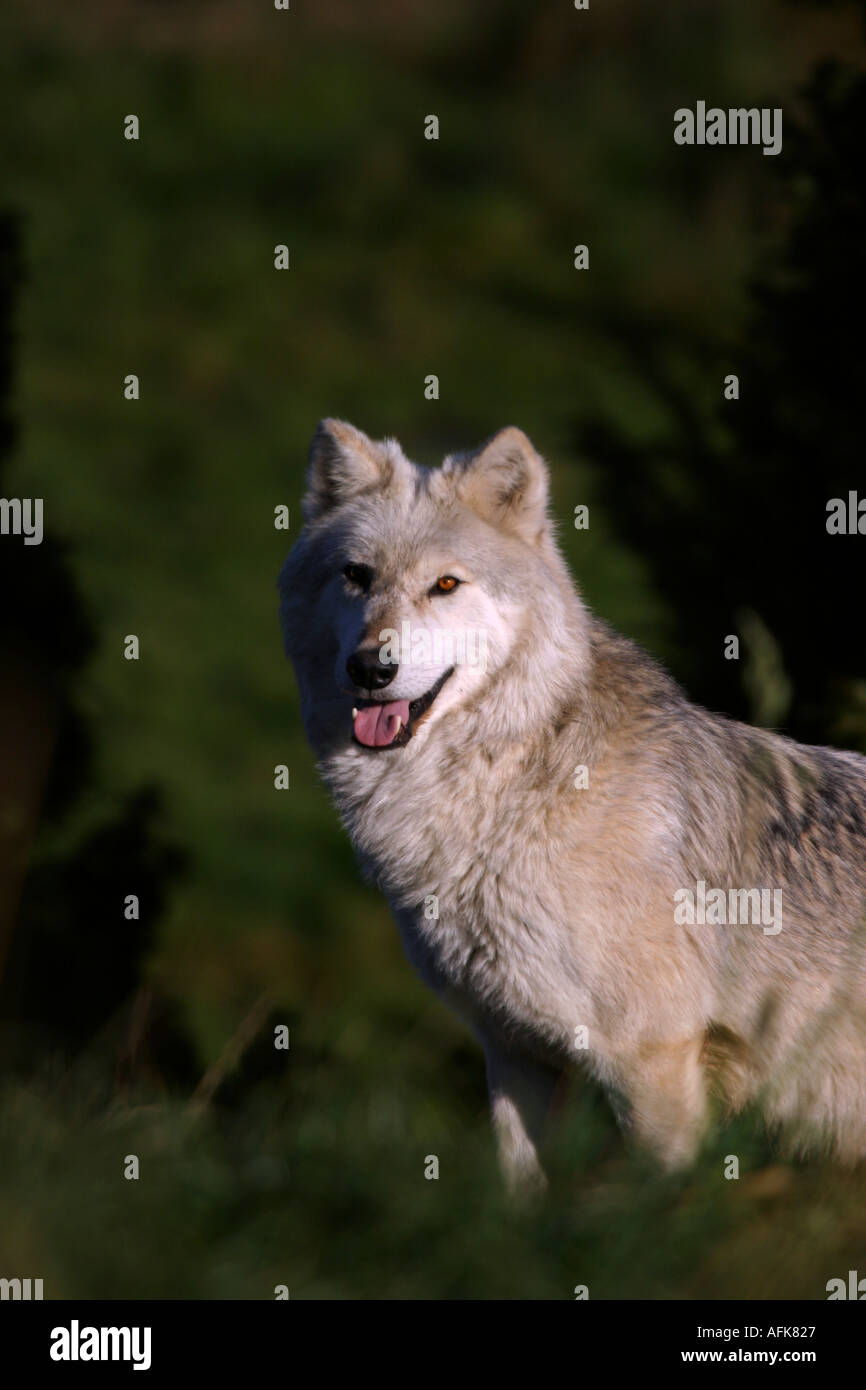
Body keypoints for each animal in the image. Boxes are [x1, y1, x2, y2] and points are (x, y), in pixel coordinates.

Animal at [279, 419, 866, 1194]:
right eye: (356, 576)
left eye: (445, 585)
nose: (372, 668)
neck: (510, 796)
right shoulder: (514, 1051)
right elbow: (522, 1192)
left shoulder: (652, 1062)